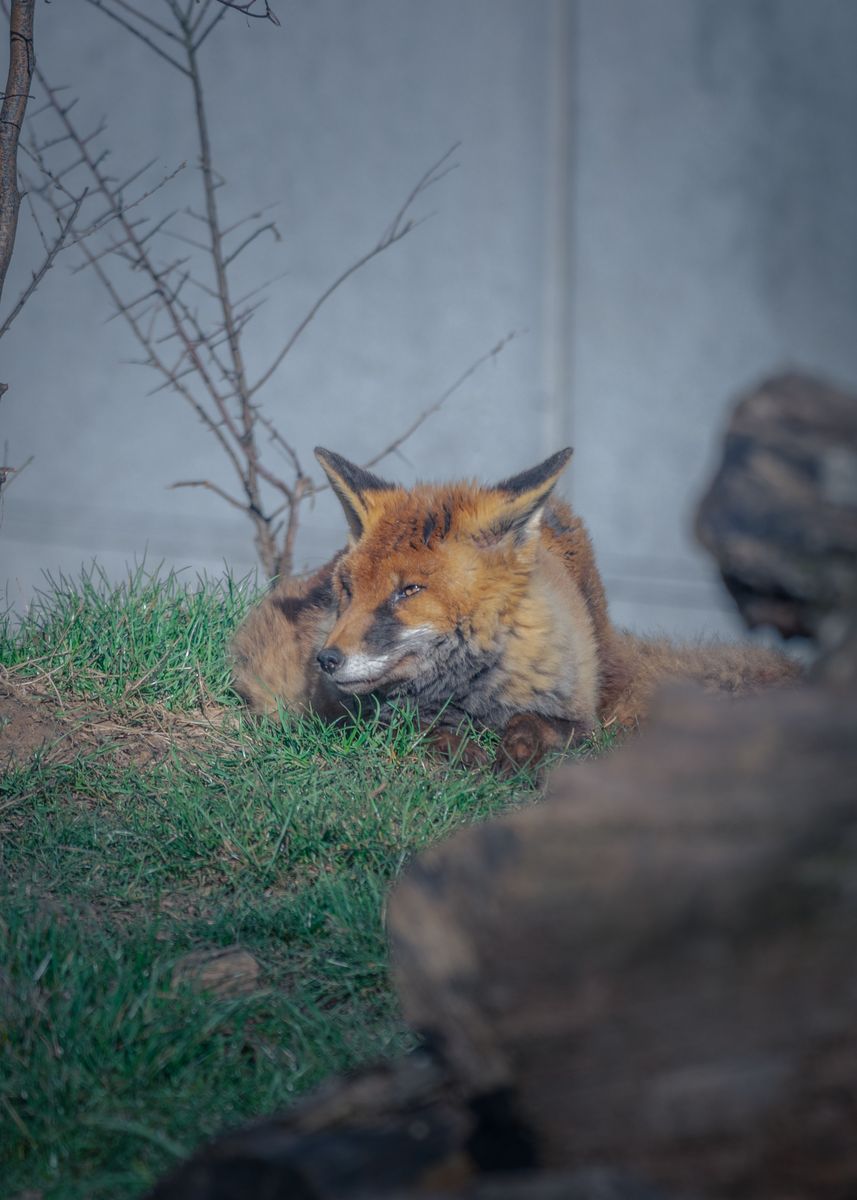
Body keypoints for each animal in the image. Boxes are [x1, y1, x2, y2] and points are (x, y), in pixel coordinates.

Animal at [231, 446, 800, 769]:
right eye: (347, 589)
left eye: (408, 590)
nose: (326, 660)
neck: (472, 695)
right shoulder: (351, 719)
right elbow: (420, 728)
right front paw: (461, 751)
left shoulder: (579, 721)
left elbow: (533, 725)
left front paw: (514, 757)